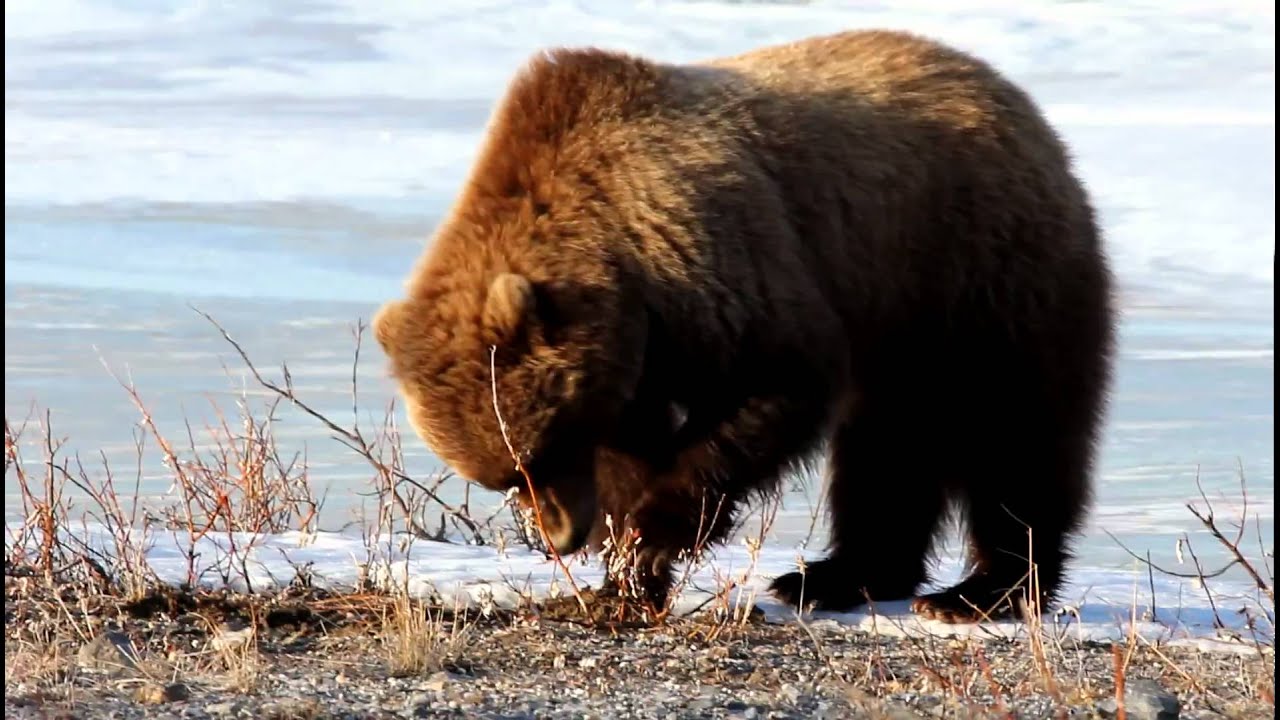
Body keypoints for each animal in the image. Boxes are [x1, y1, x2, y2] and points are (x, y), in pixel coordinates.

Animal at [372, 28, 1116, 624]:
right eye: (505, 477)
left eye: (539, 454)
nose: (560, 536)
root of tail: (1013, 98)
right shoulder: (640, 355)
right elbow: (633, 458)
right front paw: (623, 577)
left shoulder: (719, 260)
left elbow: (774, 384)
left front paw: (654, 535)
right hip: (908, 326)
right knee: (887, 449)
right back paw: (837, 576)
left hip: (977, 276)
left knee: (1014, 436)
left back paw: (981, 592)